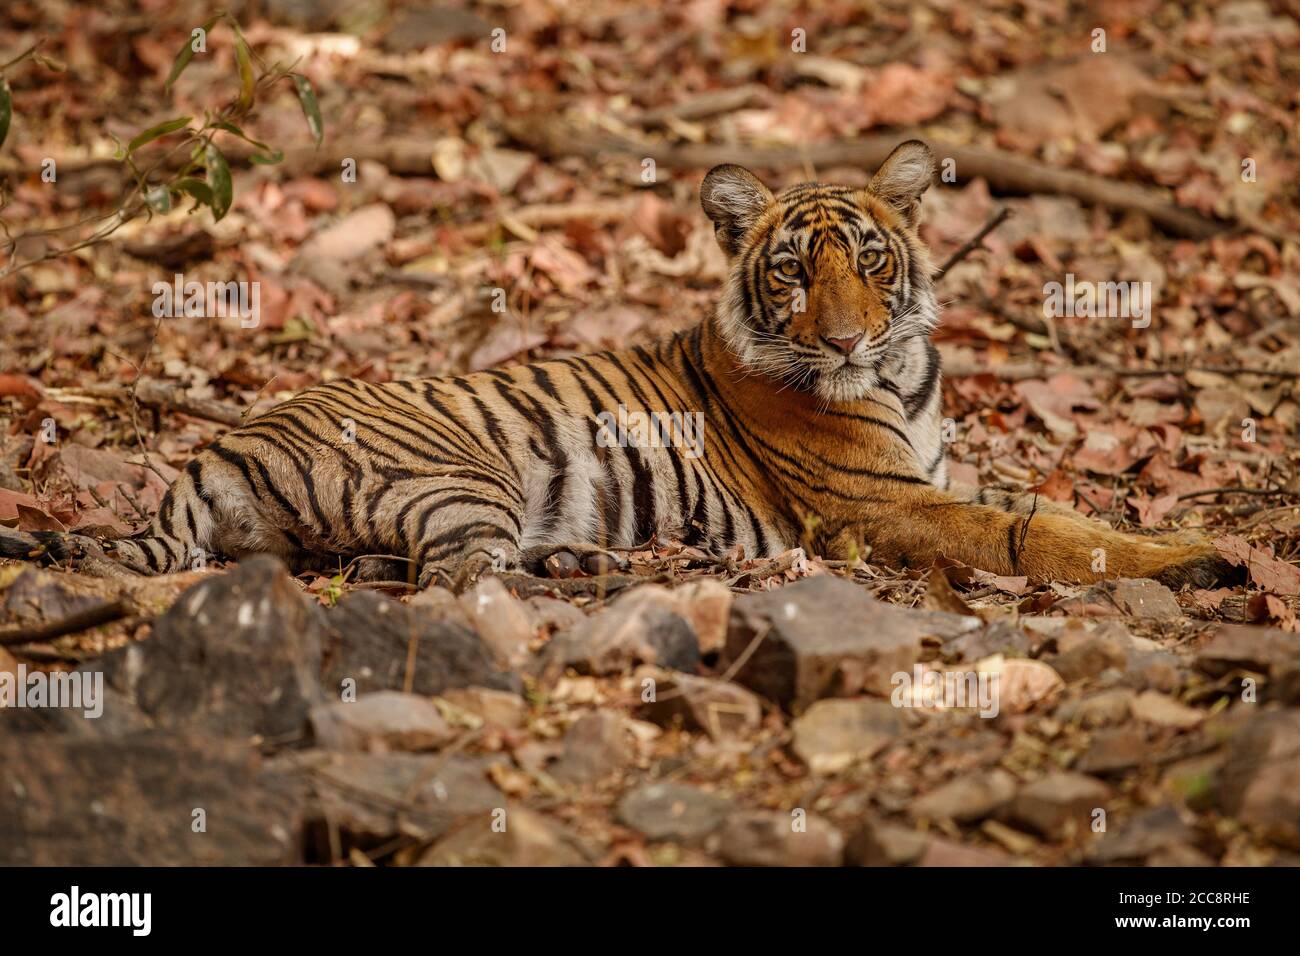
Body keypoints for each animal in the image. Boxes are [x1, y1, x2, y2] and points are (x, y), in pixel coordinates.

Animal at [4, 141, 1231, 592]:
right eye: (795, 269)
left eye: (871, 260)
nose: (843, 339)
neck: (899, 373)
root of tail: (215, 444)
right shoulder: (883, 506)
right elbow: (1037, 534)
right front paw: (1197, 560)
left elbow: (1049, 508)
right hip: (458, 475)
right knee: (447, 579)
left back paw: (595, 561)